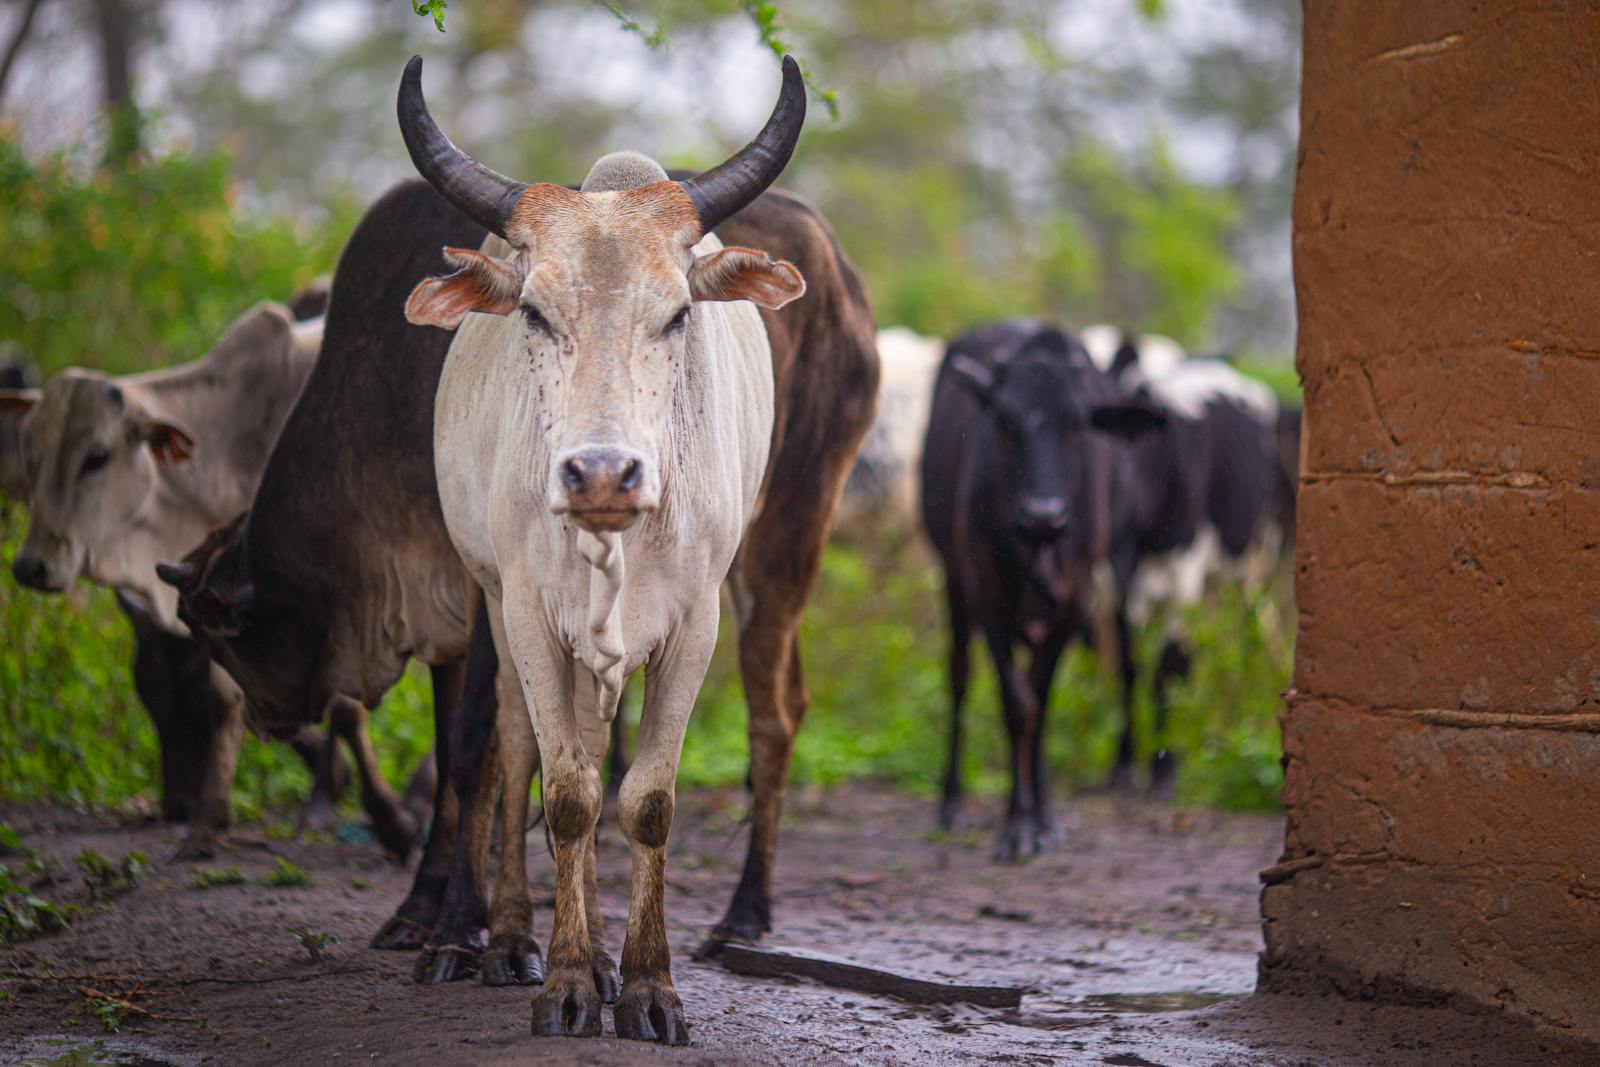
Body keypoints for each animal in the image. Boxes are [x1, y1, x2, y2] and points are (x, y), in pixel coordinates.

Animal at [0, 302, 385, 855]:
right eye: (28, 451)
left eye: (97, 457)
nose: (31, 565)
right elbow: (230, 696)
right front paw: (208, 820)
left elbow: (346, 705)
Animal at [392, 54, 875, 1041]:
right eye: (535, 313)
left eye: (677, 314)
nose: (603, 474)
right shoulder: (530, 616)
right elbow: (566, 793)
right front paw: (571, 979)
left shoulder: (693, 626)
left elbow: (647, 800)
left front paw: (648, 986)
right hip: (495, 599)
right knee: (516, 749)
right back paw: (511, 938)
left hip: (784, 550)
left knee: (775, 712)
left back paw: (733, 919)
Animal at [922, 321, 1166, 859]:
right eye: (1005, 421)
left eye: (1076, 424)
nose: (1043, 514)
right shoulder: (984, 588)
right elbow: (1017, 706)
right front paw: (1017, 823)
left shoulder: (1077, 597)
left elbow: (1042, 703)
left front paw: (1041, 818)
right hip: (952, 577)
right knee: (959, 676)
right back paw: (950, 803)